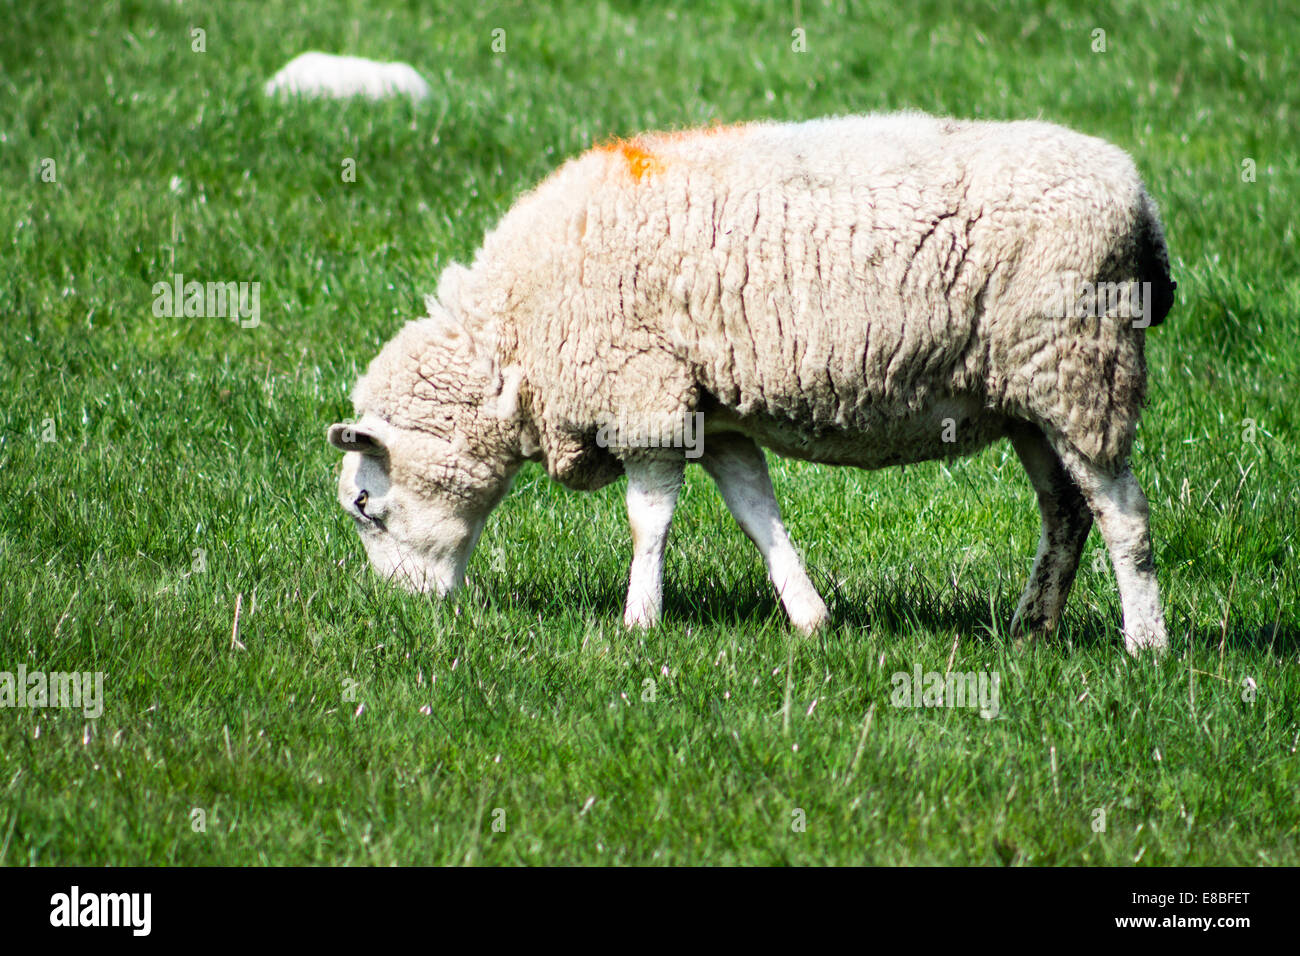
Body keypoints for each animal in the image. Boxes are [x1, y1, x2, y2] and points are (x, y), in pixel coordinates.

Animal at [327, 112, 1175, 654]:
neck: (515, 336)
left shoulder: (646, 396)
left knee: (1123, 515)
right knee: (1066, 510)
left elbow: (647, 521)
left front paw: (638, 622)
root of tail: (1138, 197)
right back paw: (1033, 628)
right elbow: (755, 512)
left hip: (1080, 370)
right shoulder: (715, 415)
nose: (406, 616)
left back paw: (1146, 644)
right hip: (1031, 397)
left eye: (367, 505)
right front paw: (809, 617)